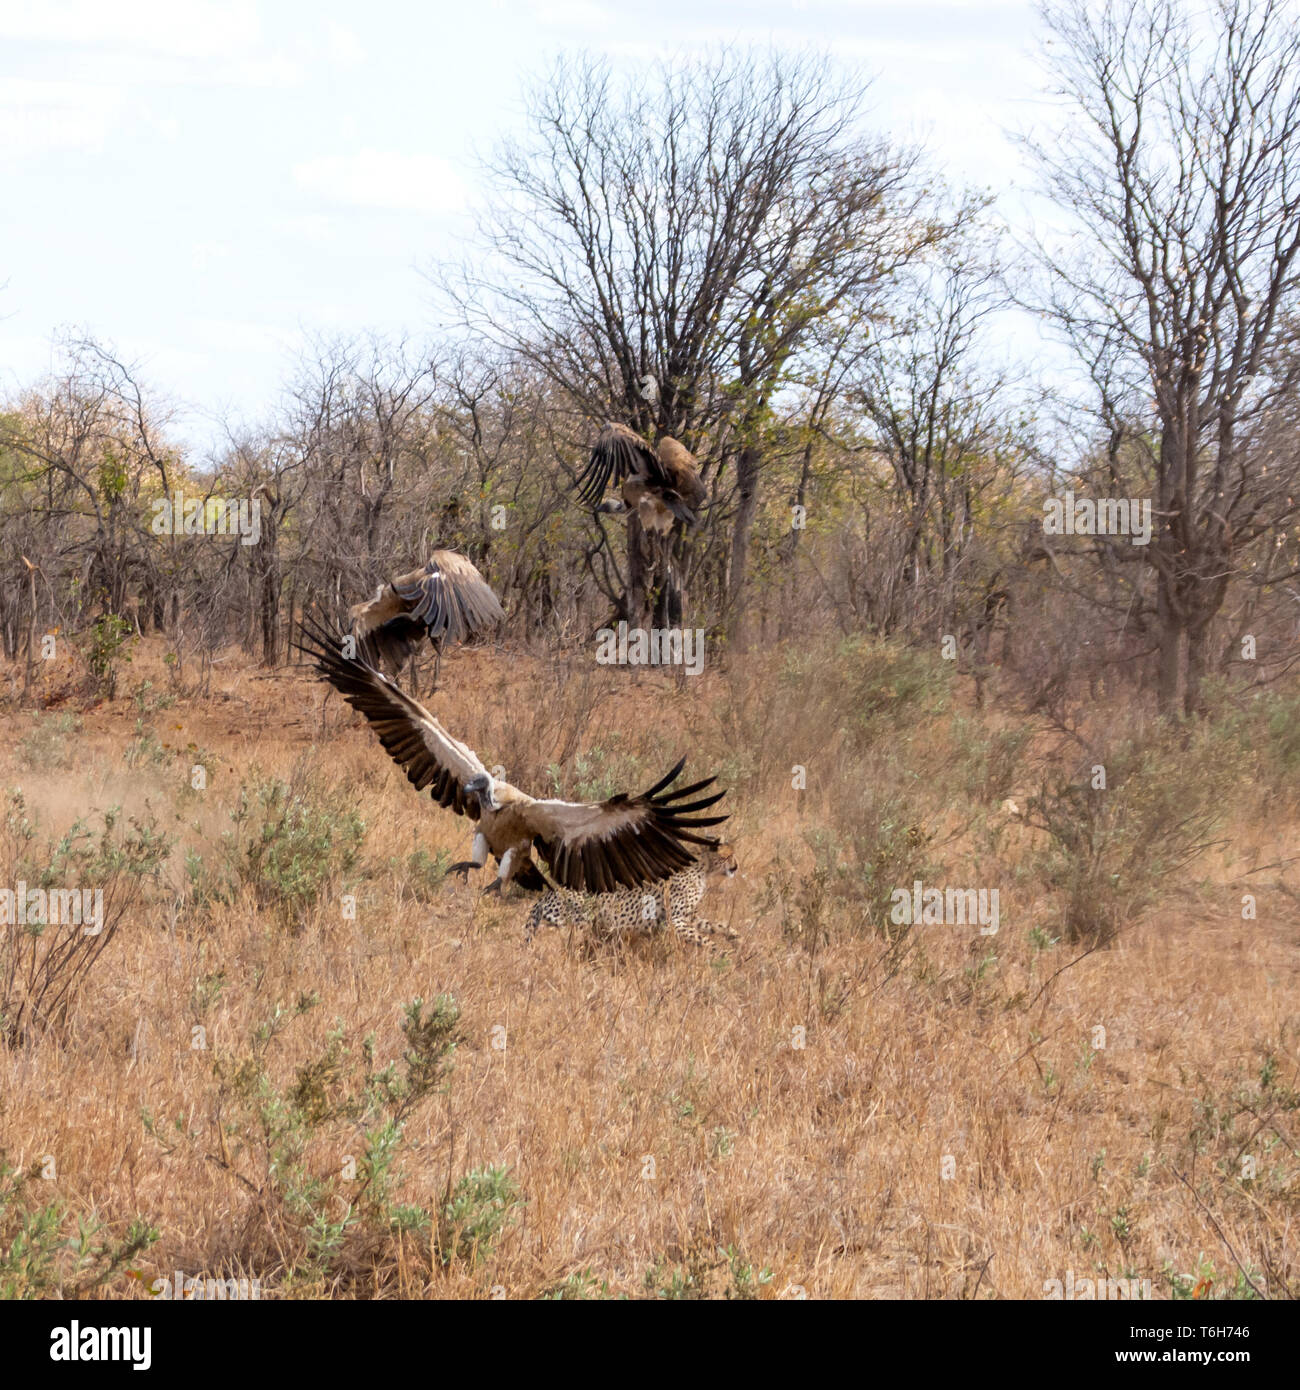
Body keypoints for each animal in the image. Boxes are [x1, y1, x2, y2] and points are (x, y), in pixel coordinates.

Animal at [524, 844, 739, 950]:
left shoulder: (689, 917)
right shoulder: (675, 921)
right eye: (729, 856)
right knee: (551, 935)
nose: (736, 867)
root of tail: (549, 891)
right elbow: (704, 939)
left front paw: (735, 937)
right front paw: (722, 954)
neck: (704, 868)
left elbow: (715, 925)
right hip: (579, 919)